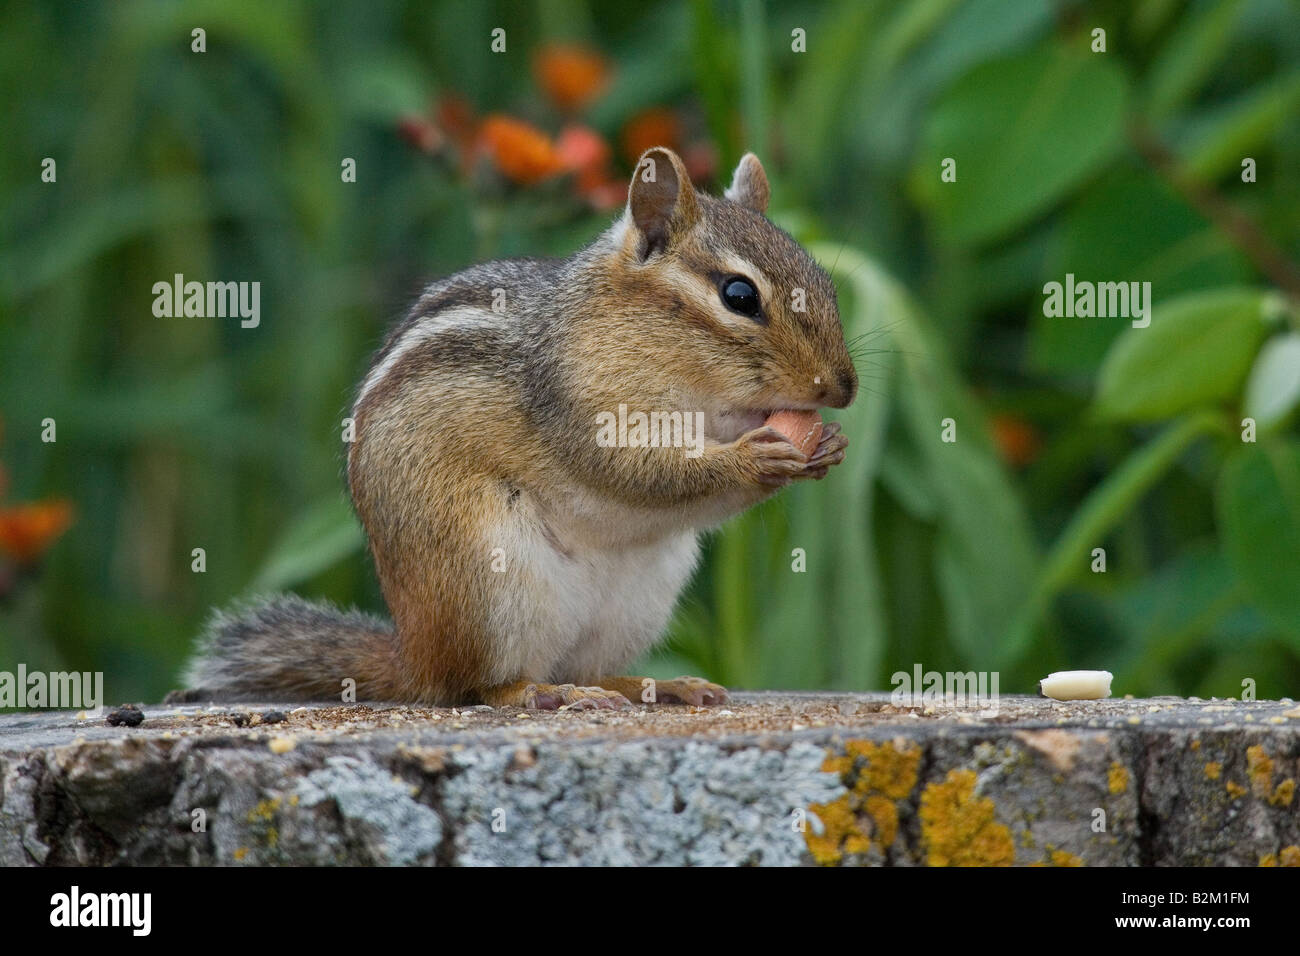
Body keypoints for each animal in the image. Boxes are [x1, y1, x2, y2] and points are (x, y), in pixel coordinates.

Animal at [175, 147, 857, 710]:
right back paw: (537, 693)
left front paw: (828, 446)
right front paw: (755, 459)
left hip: (639, 597)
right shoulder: (583, 409)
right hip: (488, 581)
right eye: (739, 295)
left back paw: (650, 684)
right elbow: (638, 472)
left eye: (824, 280)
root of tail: (413, 656)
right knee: (477, 686)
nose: (844, 389)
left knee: (583, 667)